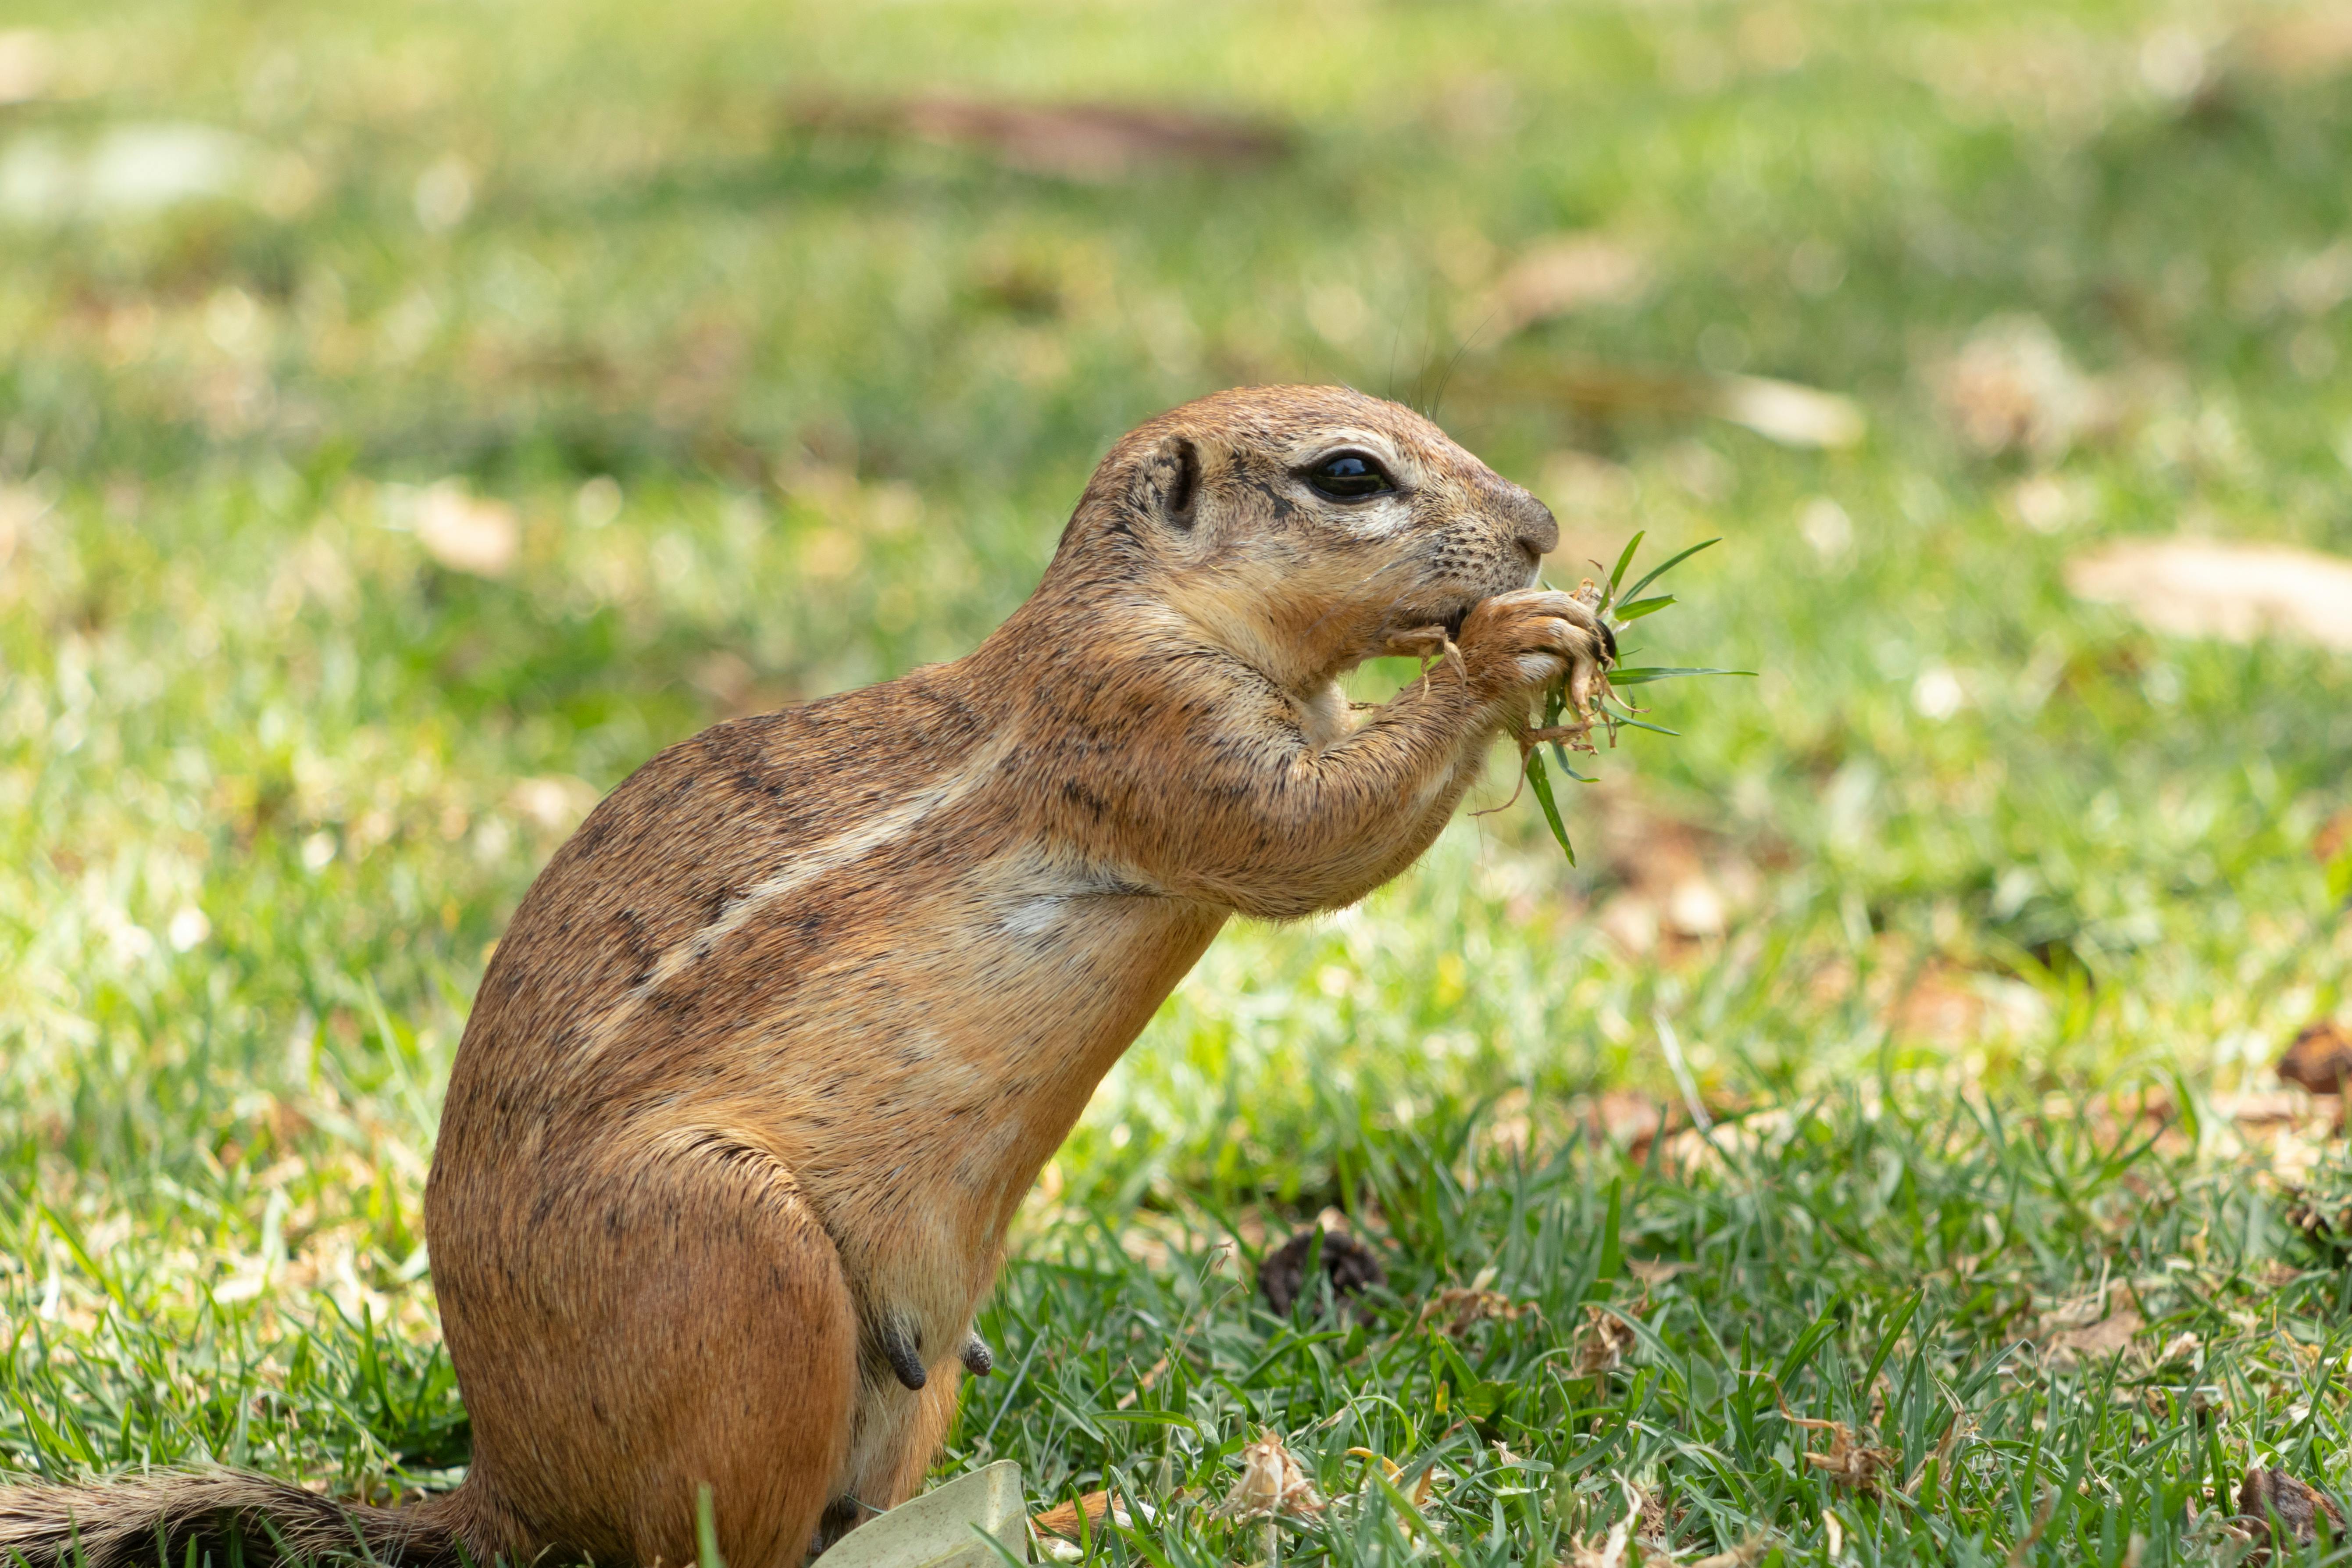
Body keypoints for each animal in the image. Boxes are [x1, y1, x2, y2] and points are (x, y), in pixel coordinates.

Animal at [0, 386, 1612, 1568]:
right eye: (1350, 472)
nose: (1543, 526)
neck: (1139, 607)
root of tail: (507, 1485)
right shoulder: (1142, 721)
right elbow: (1311, 837)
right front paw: (1522, 649)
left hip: (915, 1377)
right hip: (737, 1251)